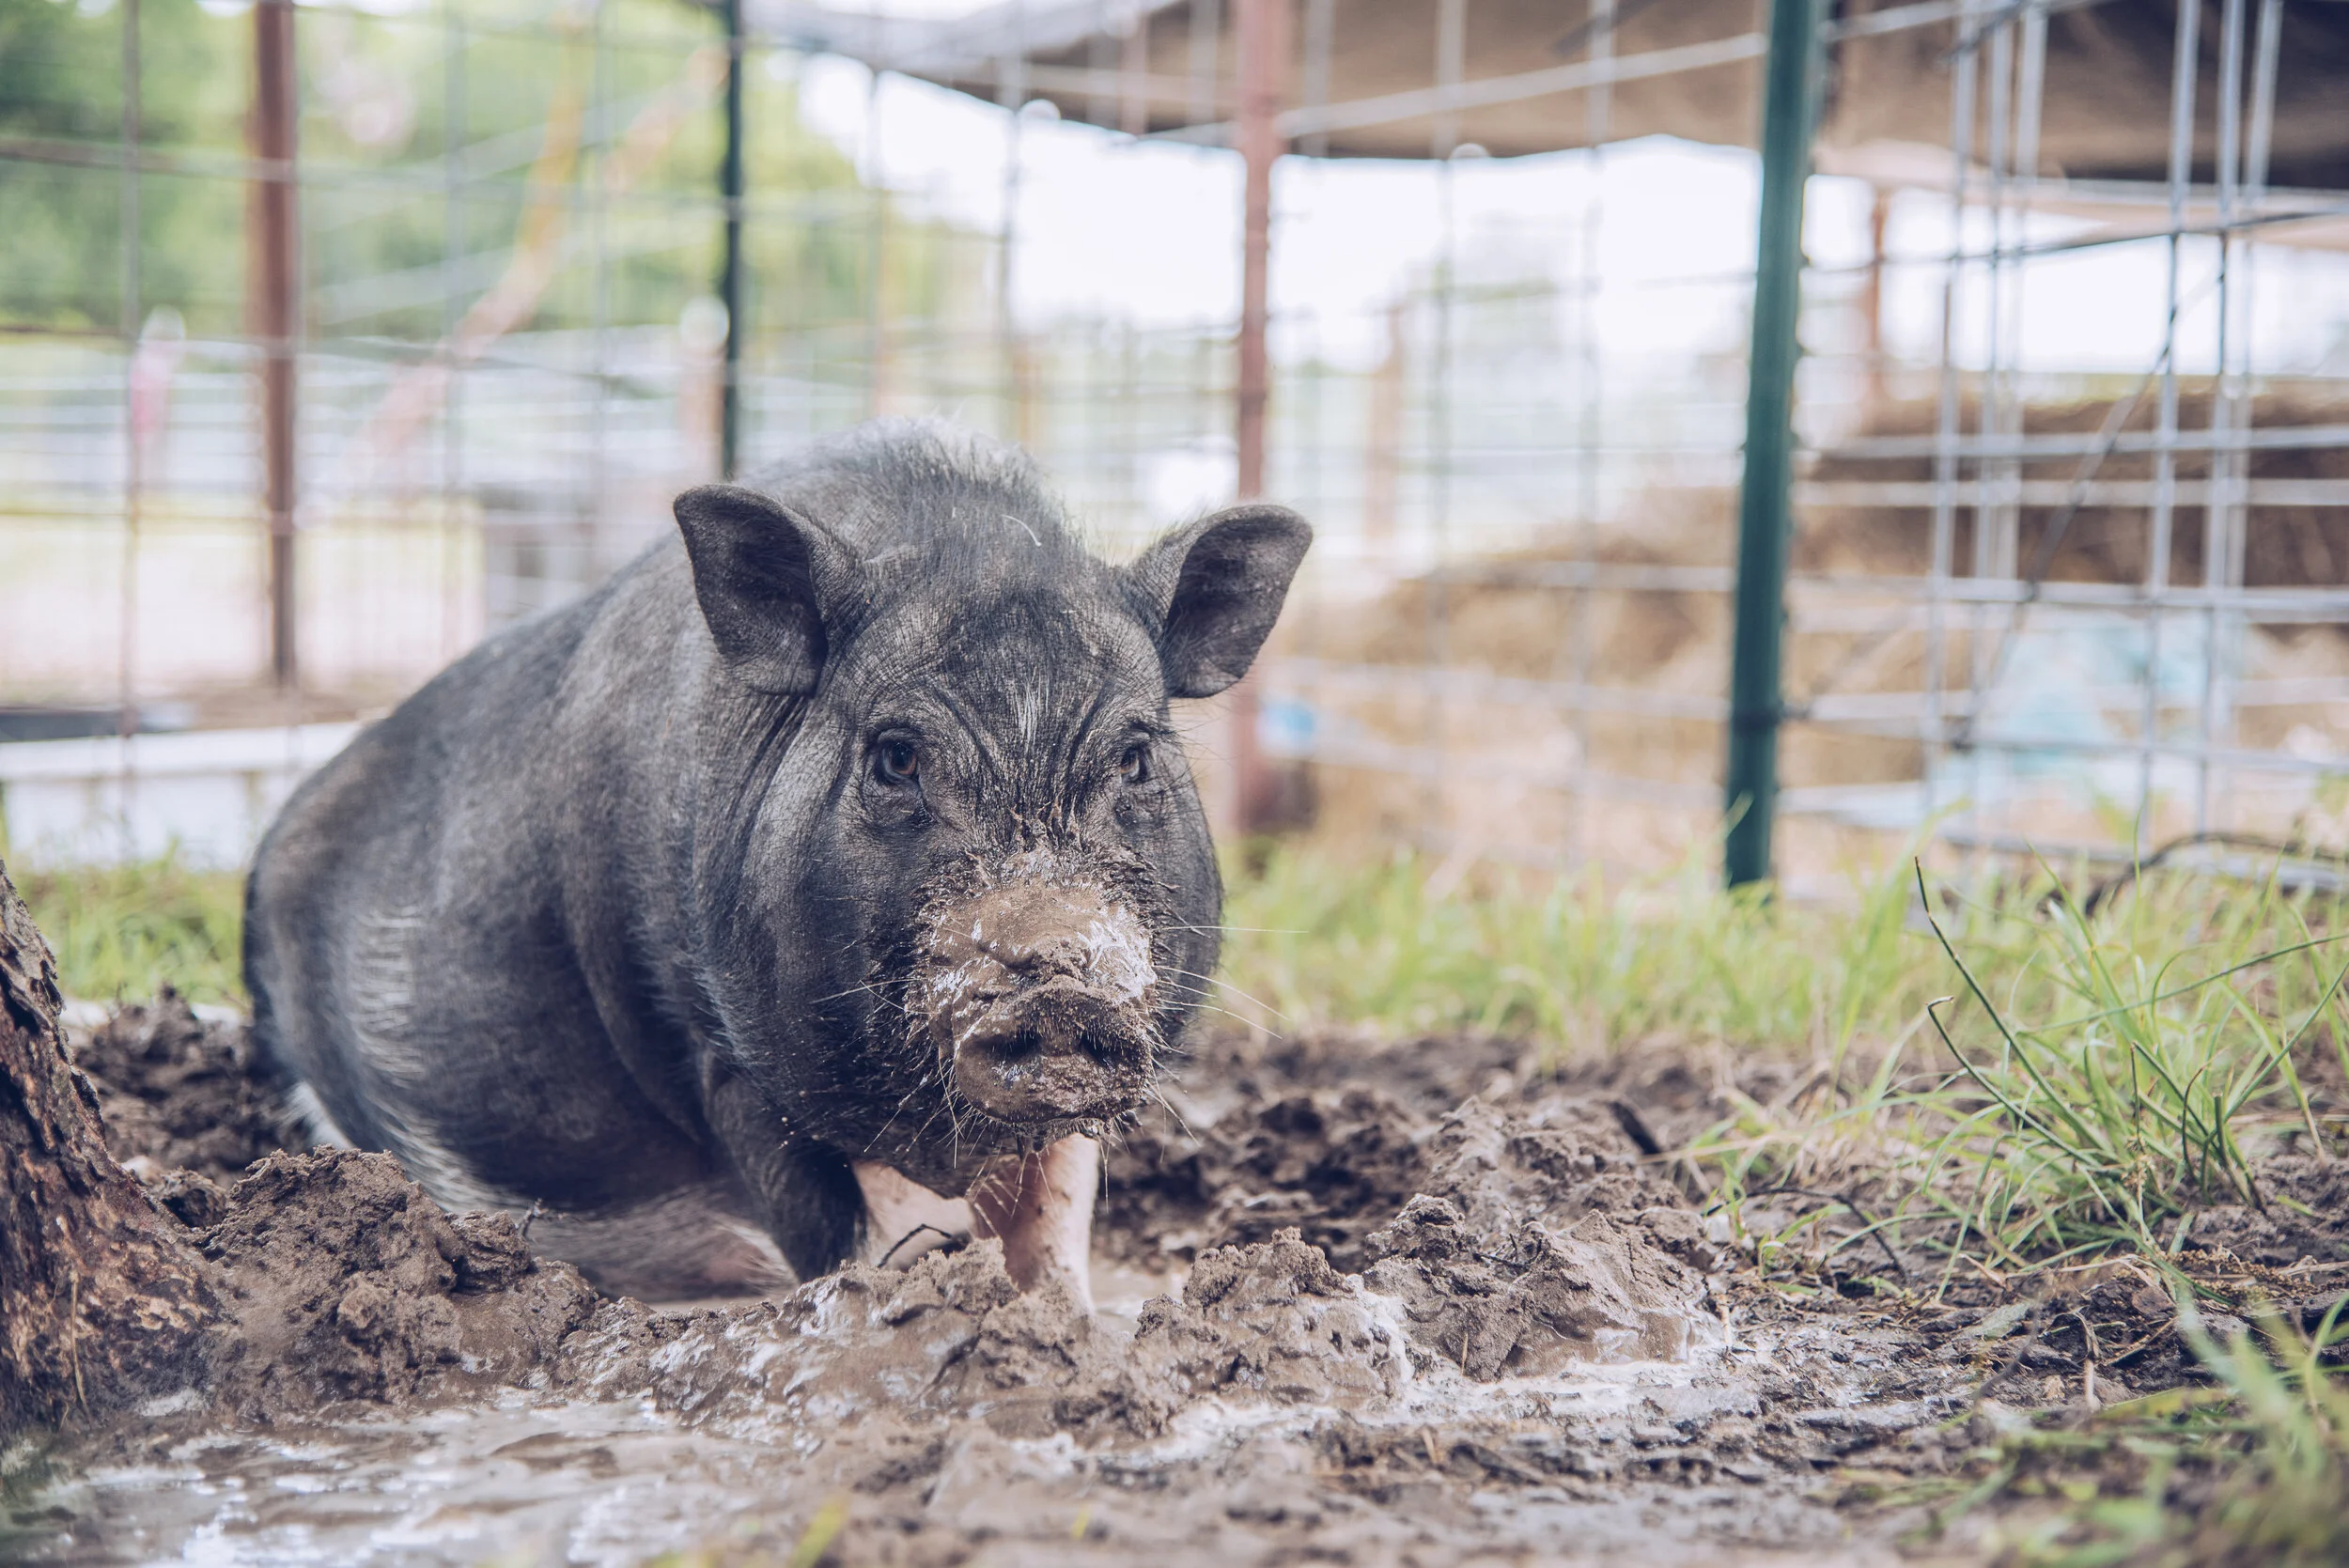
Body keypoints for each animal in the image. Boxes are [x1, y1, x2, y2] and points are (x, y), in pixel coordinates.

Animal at [242, 421, 1308, 1306]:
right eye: (895, 756)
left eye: (1135, 758)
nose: (1057, 984)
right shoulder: (712, 1051)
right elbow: (851, 1234)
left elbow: (1054, 1224)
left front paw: (1075, 1329)